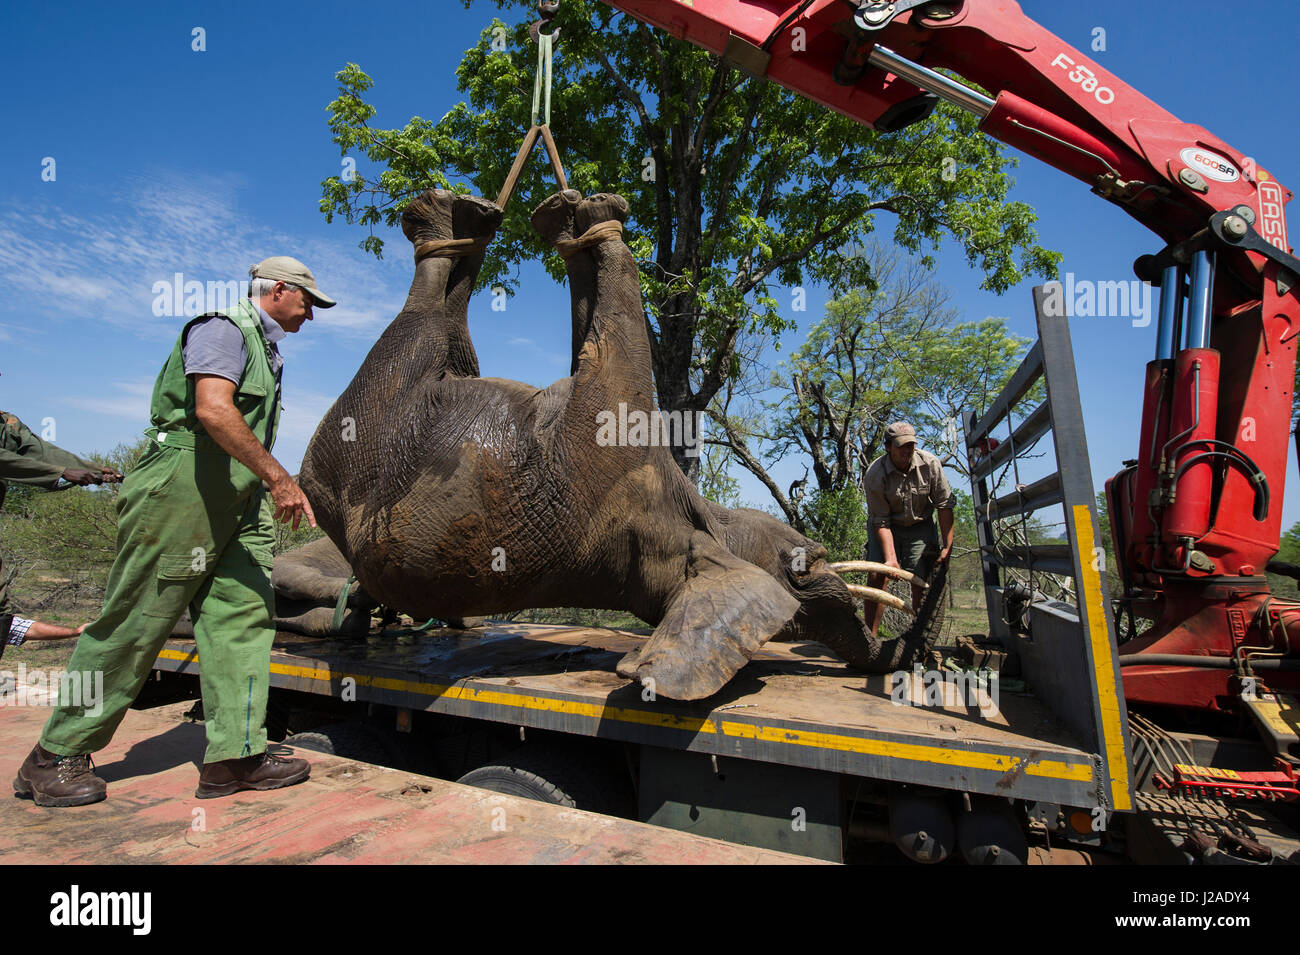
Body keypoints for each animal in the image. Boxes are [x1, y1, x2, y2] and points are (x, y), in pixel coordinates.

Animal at [295, 187, 942, 700]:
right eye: (806, 566)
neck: (701, 523)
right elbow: (603, 329)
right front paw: (582, 218)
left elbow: (605, 334)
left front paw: (582, 221)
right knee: (436, 315)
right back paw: (462, 221)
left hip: (374, 414)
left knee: (430, 323)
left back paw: (450, 223)